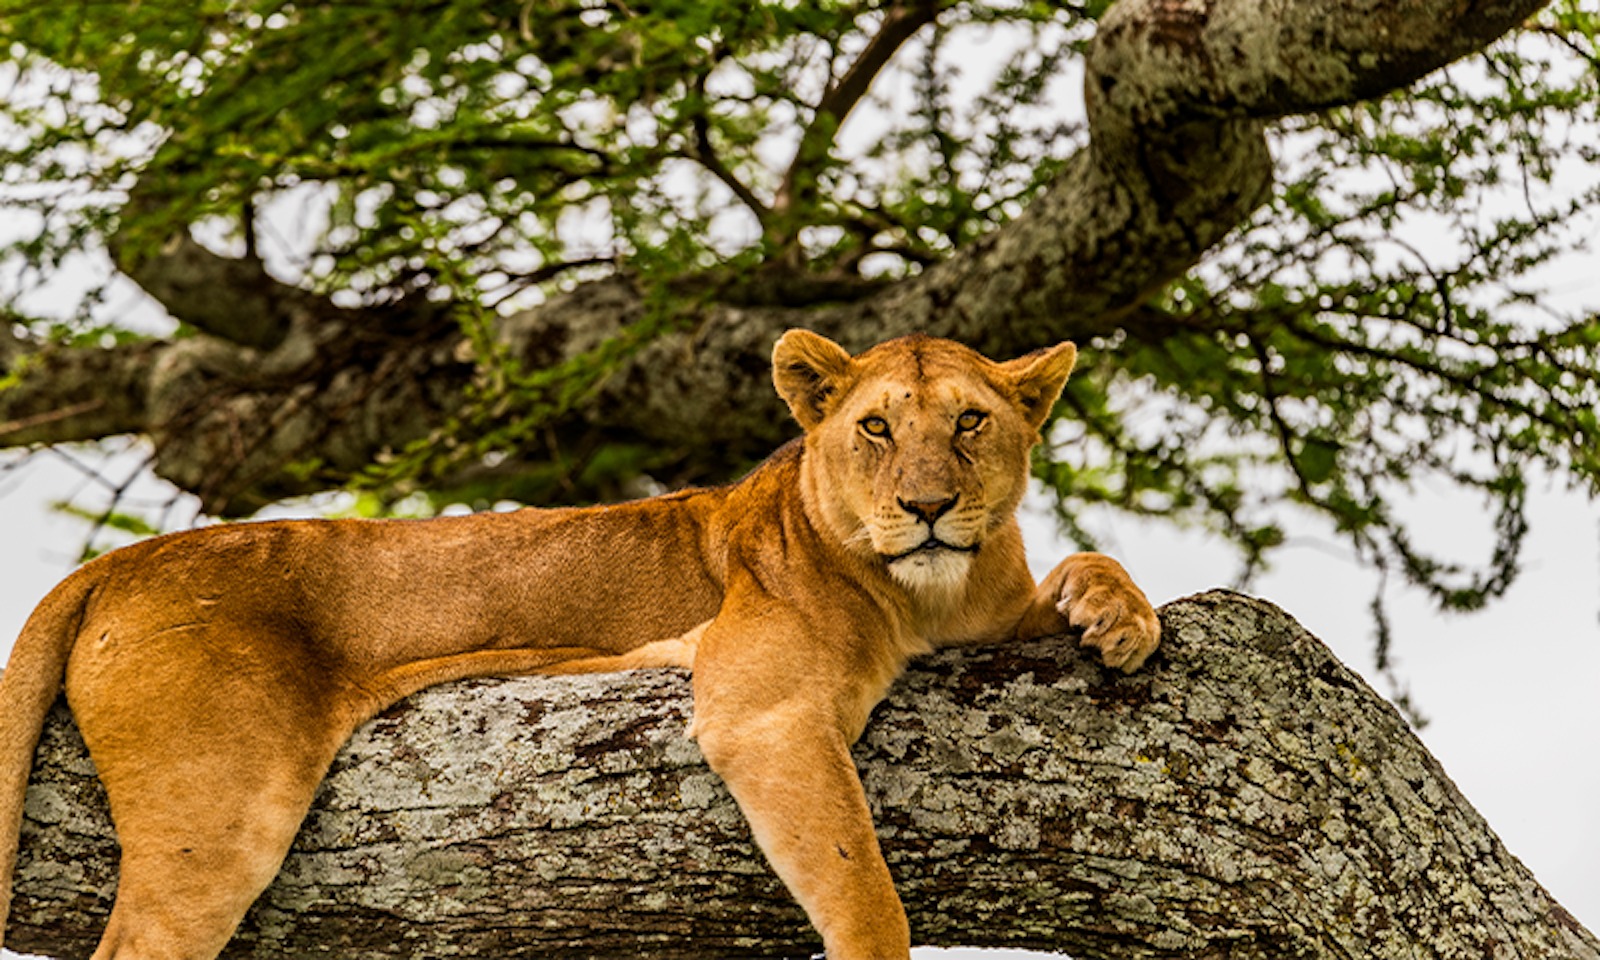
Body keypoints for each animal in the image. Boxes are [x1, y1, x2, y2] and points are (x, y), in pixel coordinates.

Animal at [0, 330, 1160, 960]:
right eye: (875, 427)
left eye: (970, 423)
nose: (926, 508)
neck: (929, 596)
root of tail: (121, 559)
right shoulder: (761, 710)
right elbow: (858, 880)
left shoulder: (988, 608)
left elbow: (1082, 561)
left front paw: (1120, 615)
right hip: (221, 808)